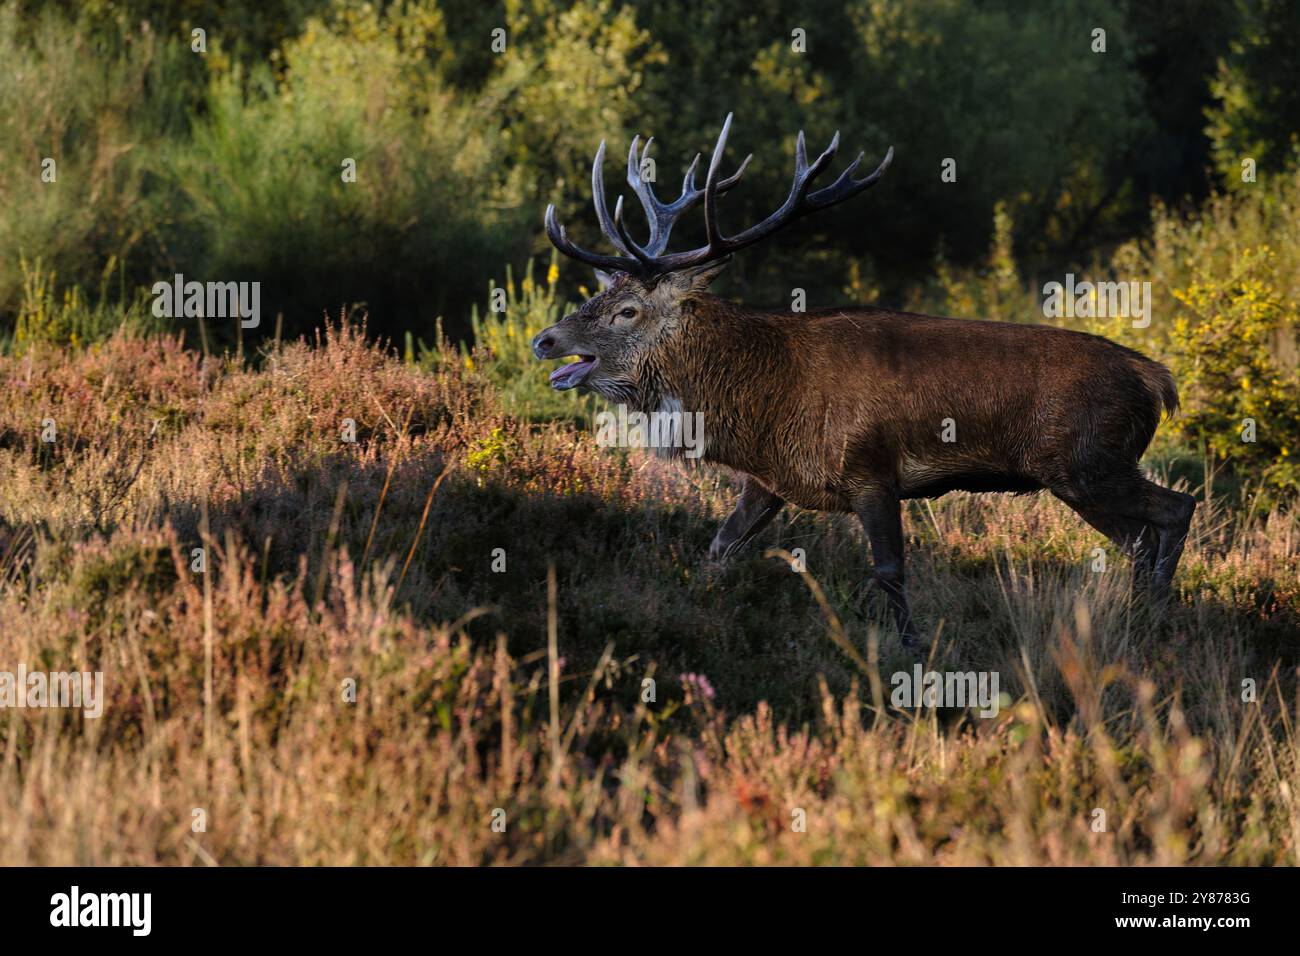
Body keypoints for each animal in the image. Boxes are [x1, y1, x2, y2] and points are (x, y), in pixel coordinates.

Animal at [531, 114, 1196, 648]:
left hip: (1087, 462)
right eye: (598, 296)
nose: (545, 339)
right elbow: (718, 548)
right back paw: (1146, 619)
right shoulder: (771, 480)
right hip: (1084, 473)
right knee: (1144, 535)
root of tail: (1156, 377)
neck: (764, 403)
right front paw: (699, 603)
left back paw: (1155, 623)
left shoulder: (872, 469)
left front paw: (912, 651)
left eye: (627, 311)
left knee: (1172, 512)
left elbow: (889, 573)